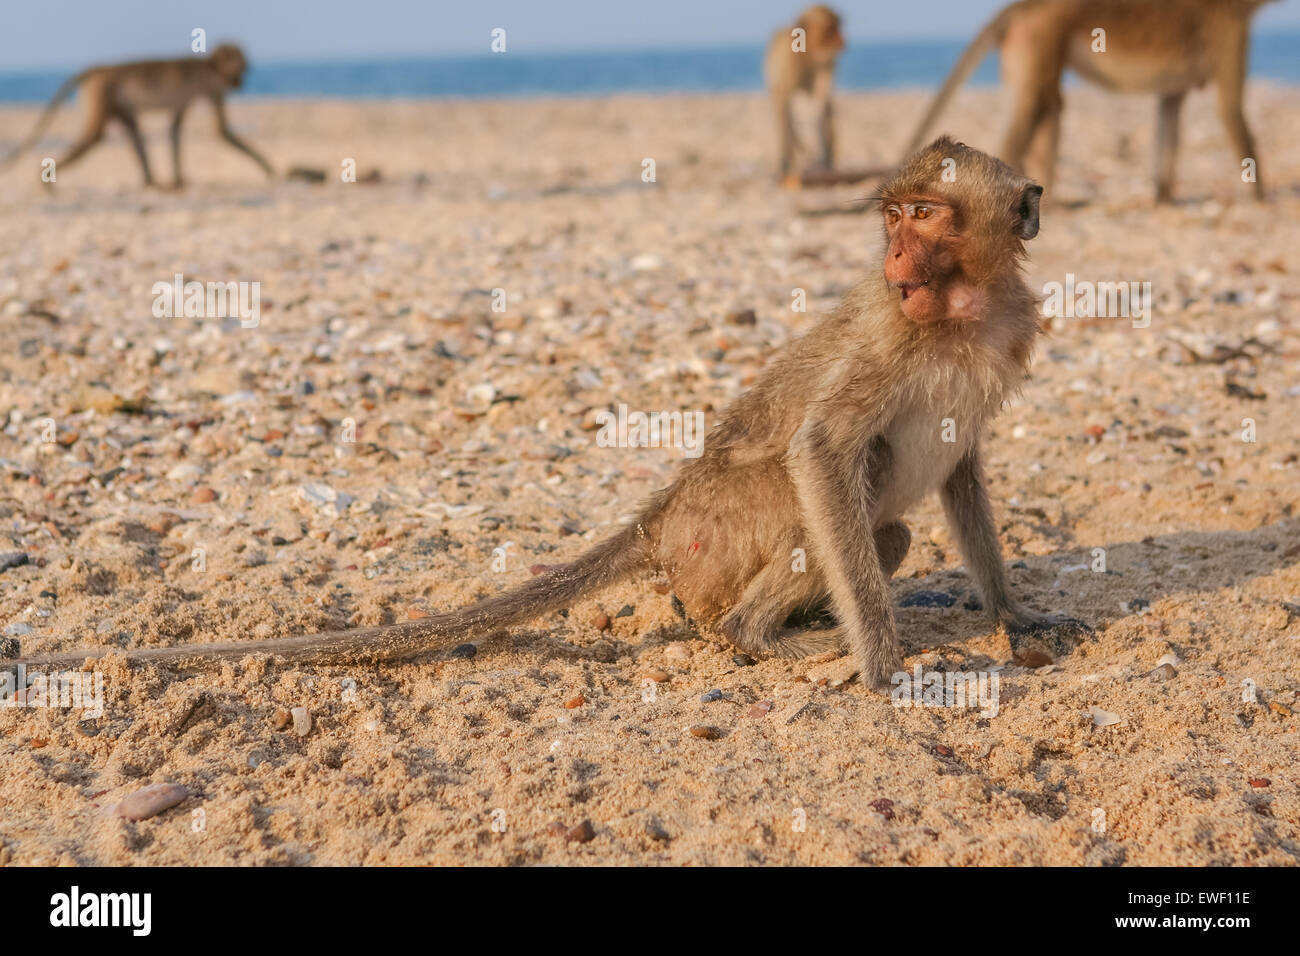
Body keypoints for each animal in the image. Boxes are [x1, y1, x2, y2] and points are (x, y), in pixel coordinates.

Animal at [0, 44, 273, 187]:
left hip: (114, 101)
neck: (209, 67)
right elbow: (215, 131)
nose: (242, 82)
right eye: (242, 67)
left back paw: (150, 181)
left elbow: (178, 128)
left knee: (131, 129)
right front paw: (268, 167)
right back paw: (46, 180)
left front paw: (178, 179)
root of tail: (101, 69)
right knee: (94, 137)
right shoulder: (208, 86)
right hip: (102, 92)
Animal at [7, 138, 1088, 690]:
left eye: (929, 218)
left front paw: (1011, 610)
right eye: (894, 218)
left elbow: (962, 471)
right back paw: (764, 635)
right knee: (840, 502)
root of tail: (662, 515)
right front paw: (879, 658)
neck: (961, 310)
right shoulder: (888, 334)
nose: (898, 258)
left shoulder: (1007, 331)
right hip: (716, 528)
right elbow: (822, 449)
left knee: (891, 528)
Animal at [764, 4, 846, 188]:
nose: (843, 41)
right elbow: (783, 102)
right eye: (830, 30)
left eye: (837, 28)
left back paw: (826, 162)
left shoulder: (825, 63)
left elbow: (820, 102)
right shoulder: (789, 57)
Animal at [899, 0, 1277, 202]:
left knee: (1048, 103)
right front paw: (1261, 198)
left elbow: (1169, 109)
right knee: (1037, 104)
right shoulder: (1227, 27)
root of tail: (1026, 7)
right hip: (1043, 33)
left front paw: (1163, 198)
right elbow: (1230, 110)